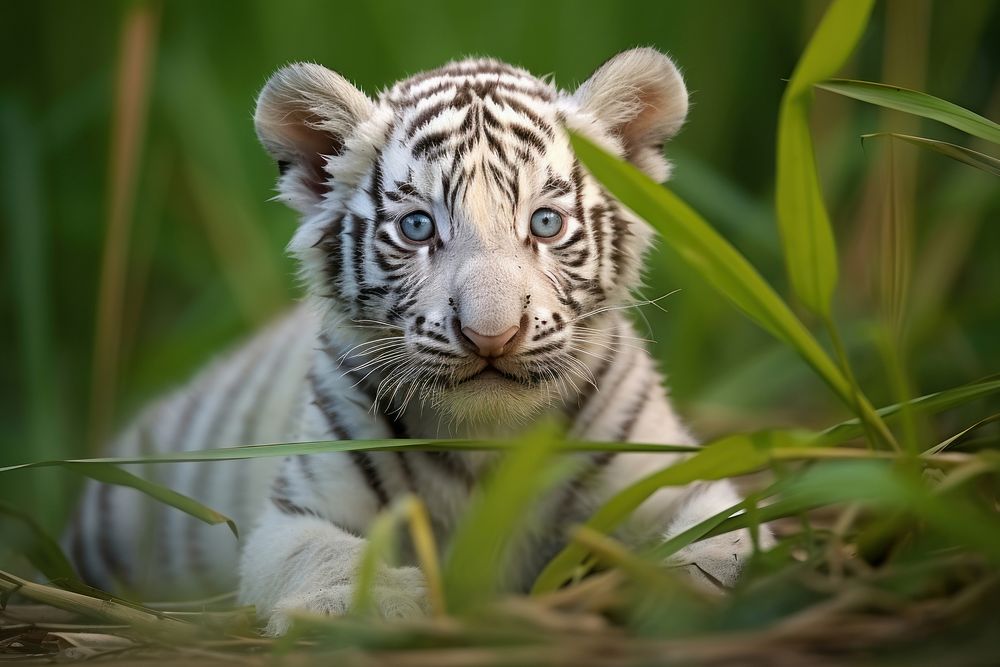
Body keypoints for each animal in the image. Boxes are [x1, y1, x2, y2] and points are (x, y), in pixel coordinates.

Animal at [65, 48, 770, 635]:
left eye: (545, 222)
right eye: (417, 227)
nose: (492, 334)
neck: (488, 439)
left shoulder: (669, 479)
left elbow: (724, 537)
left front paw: (703, 588)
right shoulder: (299, 511)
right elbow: (326, 556)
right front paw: (365, 606)